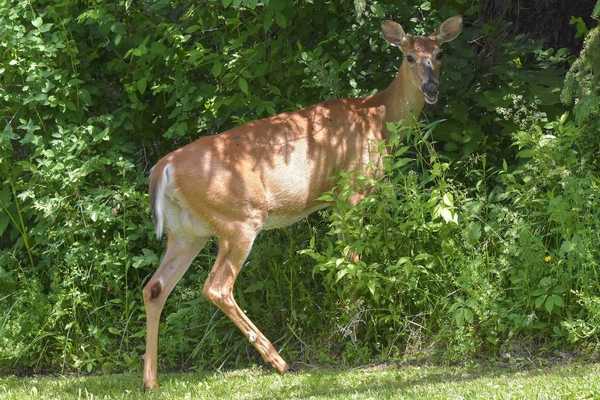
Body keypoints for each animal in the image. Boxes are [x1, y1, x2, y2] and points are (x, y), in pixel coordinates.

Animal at [142, 16, 464, 390]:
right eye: (409, 56)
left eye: (439, 54)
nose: (431, 88)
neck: (379, 118)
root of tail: (164, 169)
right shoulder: (350, 191)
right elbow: (350, 260)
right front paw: (349, 329)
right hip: (239, 221)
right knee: (217, 287)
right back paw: (280, 362)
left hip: (186, 232)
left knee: (155, 287)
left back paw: (151, 380)